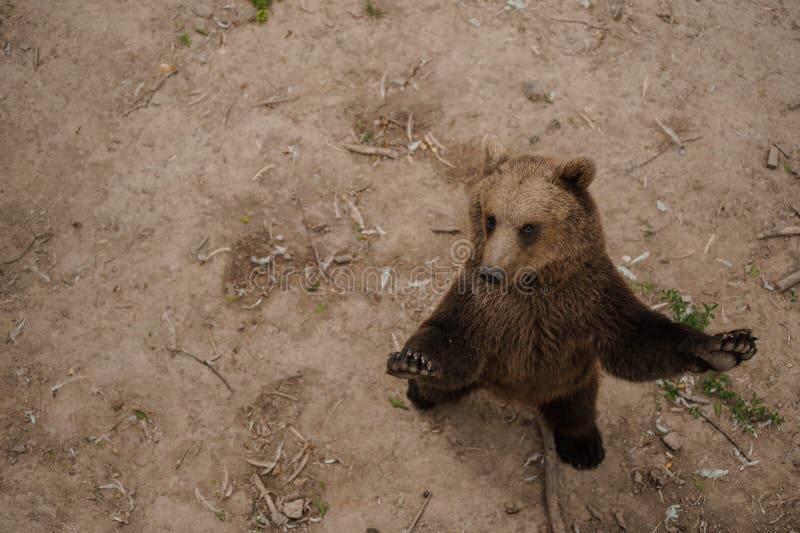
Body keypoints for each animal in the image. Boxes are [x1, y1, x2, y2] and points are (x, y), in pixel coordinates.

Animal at [386, 137, 757, 470]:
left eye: (528, 227)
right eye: (490, 218)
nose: (492, 273)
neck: (533, 282)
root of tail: (513, 393)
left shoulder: (589, 297)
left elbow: (636, 336)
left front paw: (727, 347)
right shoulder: (481, 304)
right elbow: (449, 335)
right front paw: (413, 361)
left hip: (570, 377)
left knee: (577, 408)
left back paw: (584, 447)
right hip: (490, 369)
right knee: (449, 382)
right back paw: (419, 390)